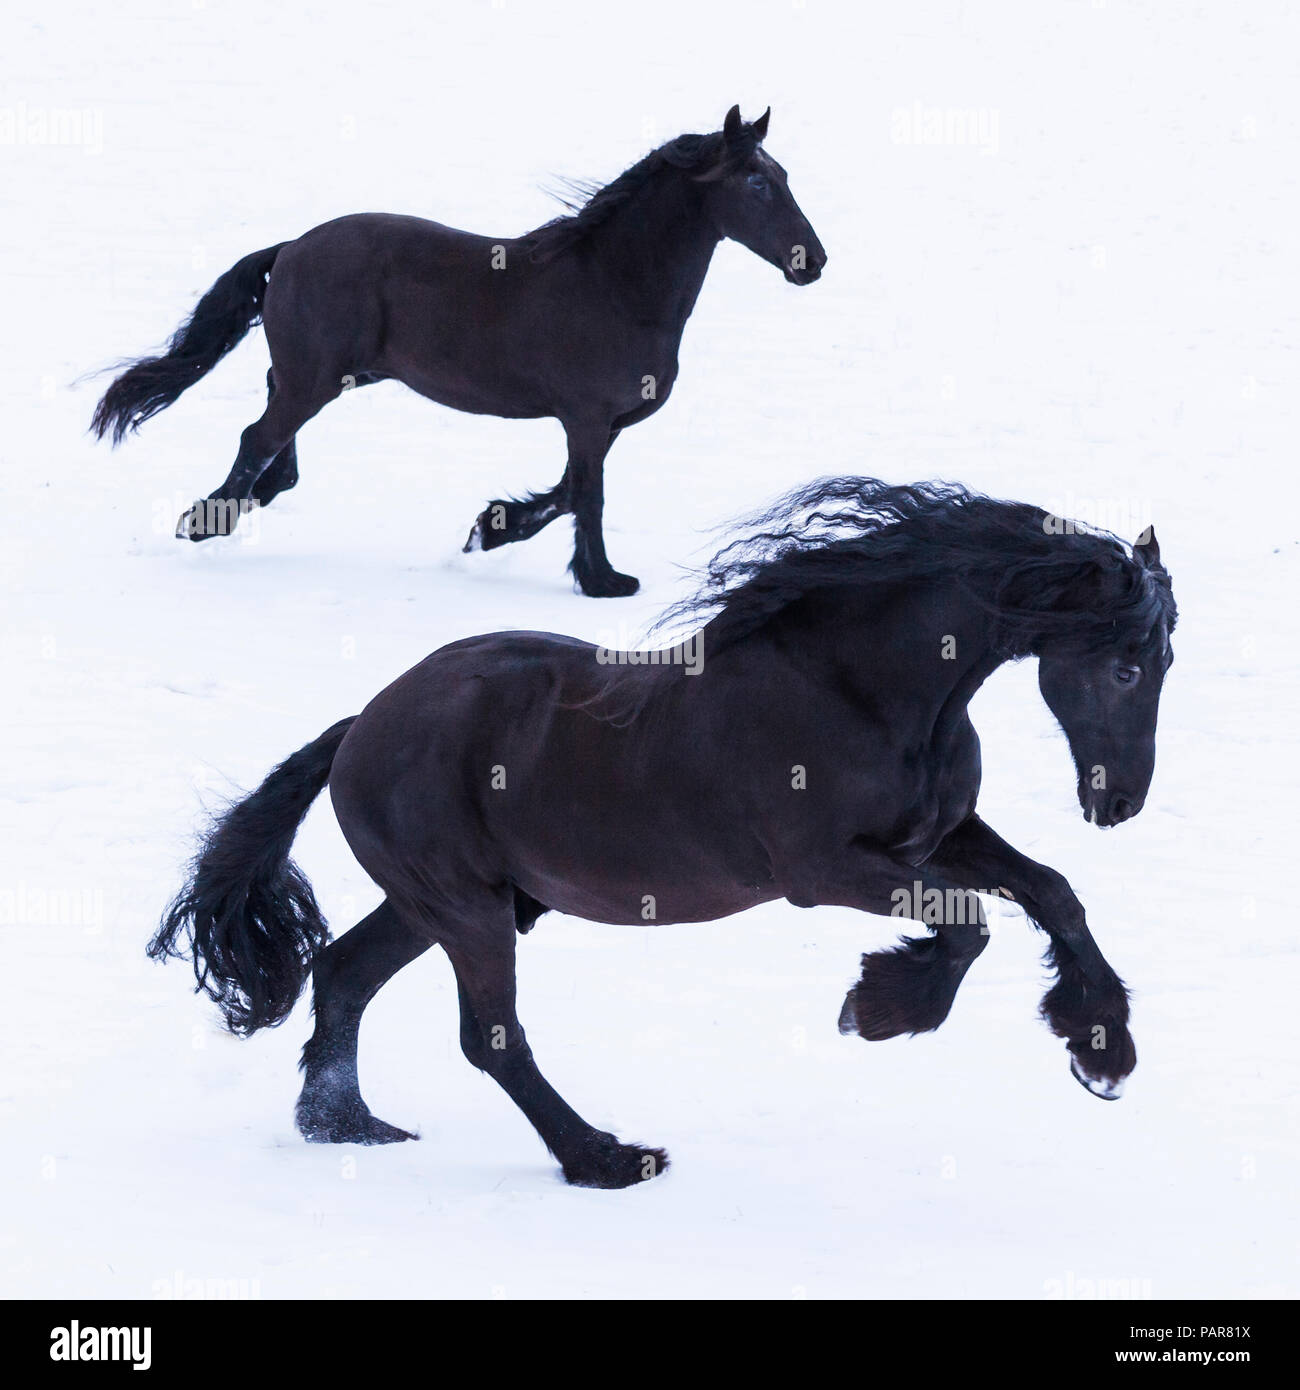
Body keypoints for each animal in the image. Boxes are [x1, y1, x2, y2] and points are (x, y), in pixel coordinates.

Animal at [90, 105, 826, 598]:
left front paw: (488, 530)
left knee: (272, 424)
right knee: (257, 436)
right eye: (756, 183)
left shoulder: (601, 423)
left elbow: (565, 492)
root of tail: (292, 246)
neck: (613, 284)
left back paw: (256, 496)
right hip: (319, 378)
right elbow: (588, 497)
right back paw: (205, 520)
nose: (813, 262)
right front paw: (603, 581)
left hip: (337, 374)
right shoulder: (587, 418)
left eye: (786, 174)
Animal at [150, 478, 1176, 1187]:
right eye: (1128, 665)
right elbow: (968, 923)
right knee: (490, 1039)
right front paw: (881, 1008)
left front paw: (1102, 1047)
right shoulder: (823, 871)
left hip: (440, 903)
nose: (1122, 801)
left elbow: (1051, 892)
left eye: (1164, 658)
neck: (861, 686)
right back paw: (605, 1159)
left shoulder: (942, 834)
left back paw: (348, 1125)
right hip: (466, 909)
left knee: (344, 975)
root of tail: (359, 726)